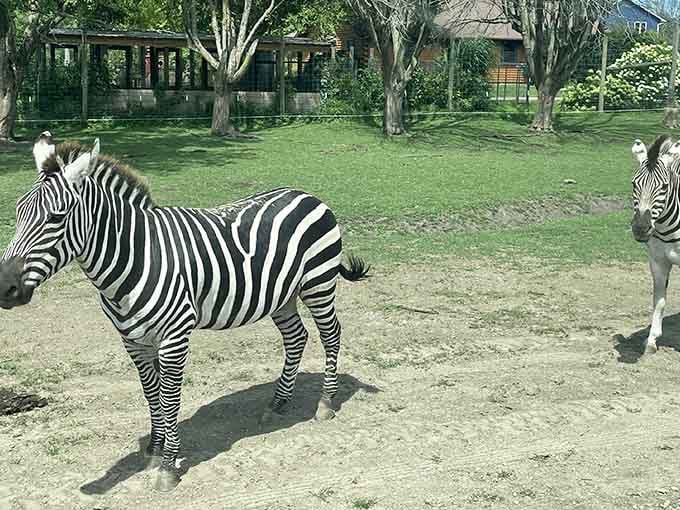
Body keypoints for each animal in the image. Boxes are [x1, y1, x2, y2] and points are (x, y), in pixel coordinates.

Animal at [0, 132, 370, 491]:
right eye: (17, 213)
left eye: (56, 217)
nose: (4, 288)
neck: (135, 257)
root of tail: (306, 194)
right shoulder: (133, 342)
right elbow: (151, 395)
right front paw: (154, 448)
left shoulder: (175, 336)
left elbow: (169, 399)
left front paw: (167, 466)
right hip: (281, 295)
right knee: (296, 338)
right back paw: (278, 403)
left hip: (318, 283)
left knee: (331, 334)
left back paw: (325, 404)